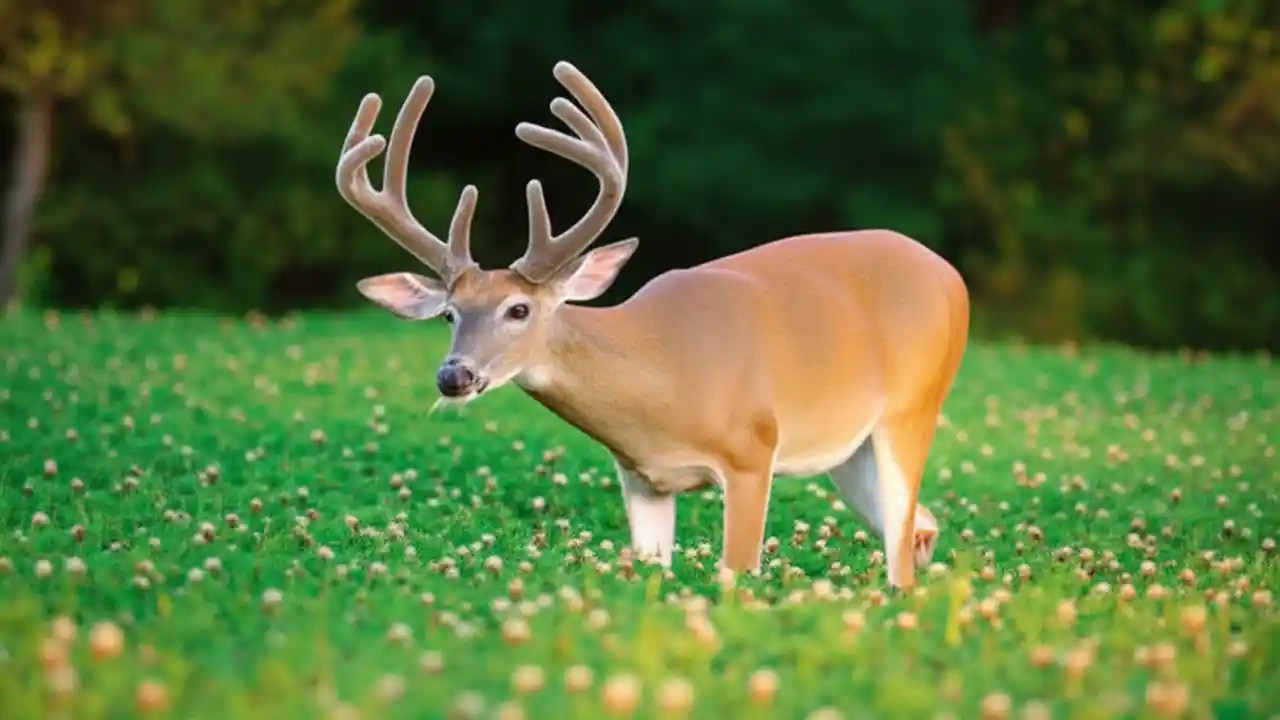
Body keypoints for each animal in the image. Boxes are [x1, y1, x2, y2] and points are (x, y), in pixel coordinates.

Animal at [336, 61, 969, 589]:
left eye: (519, 309)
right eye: (449, 313)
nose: (455, 377)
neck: (661, 379)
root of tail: (950, 274)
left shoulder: (752, 449)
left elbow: (736, 574)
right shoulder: (641, 479)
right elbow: (650, 577)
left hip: (912, 405)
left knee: (902, 544)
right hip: (847, 452)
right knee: (917, 527)